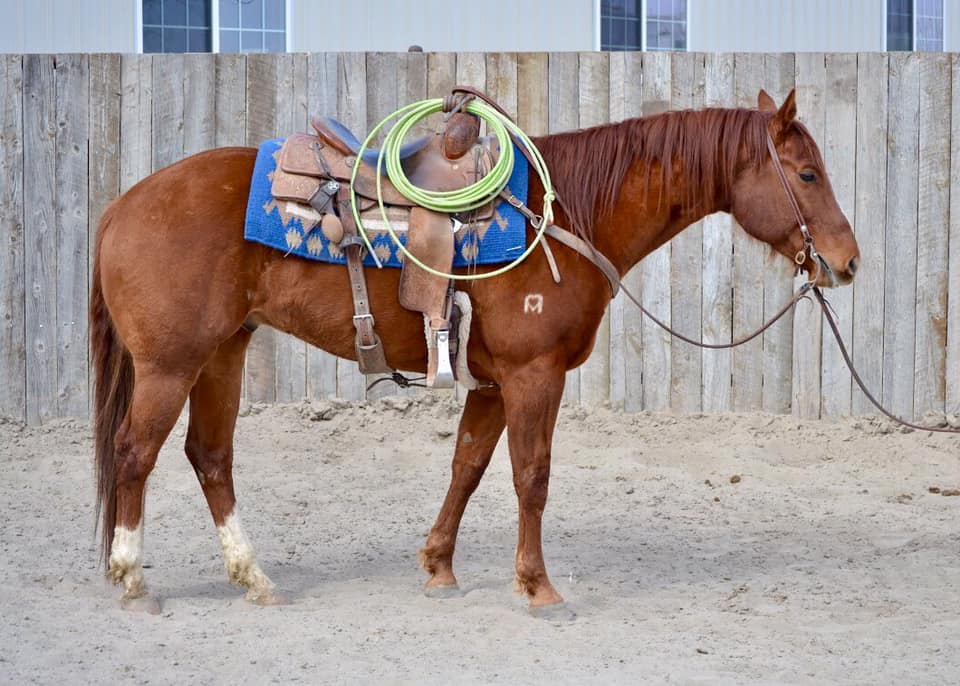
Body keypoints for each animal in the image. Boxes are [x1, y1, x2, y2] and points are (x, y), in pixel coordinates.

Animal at [90, 88, 859, 616]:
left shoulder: (491, 384)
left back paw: (254, 577)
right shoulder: (533, 376)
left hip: (223, 351)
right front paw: (538, 586)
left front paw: (439, 568)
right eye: (808, 174)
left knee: (210, 456)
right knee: (135, 453)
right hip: (170, 364)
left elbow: (467, 467)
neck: (561, 217)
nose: (847, 262)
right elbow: (531, 476)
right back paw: (132, 579)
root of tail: (123, 203)